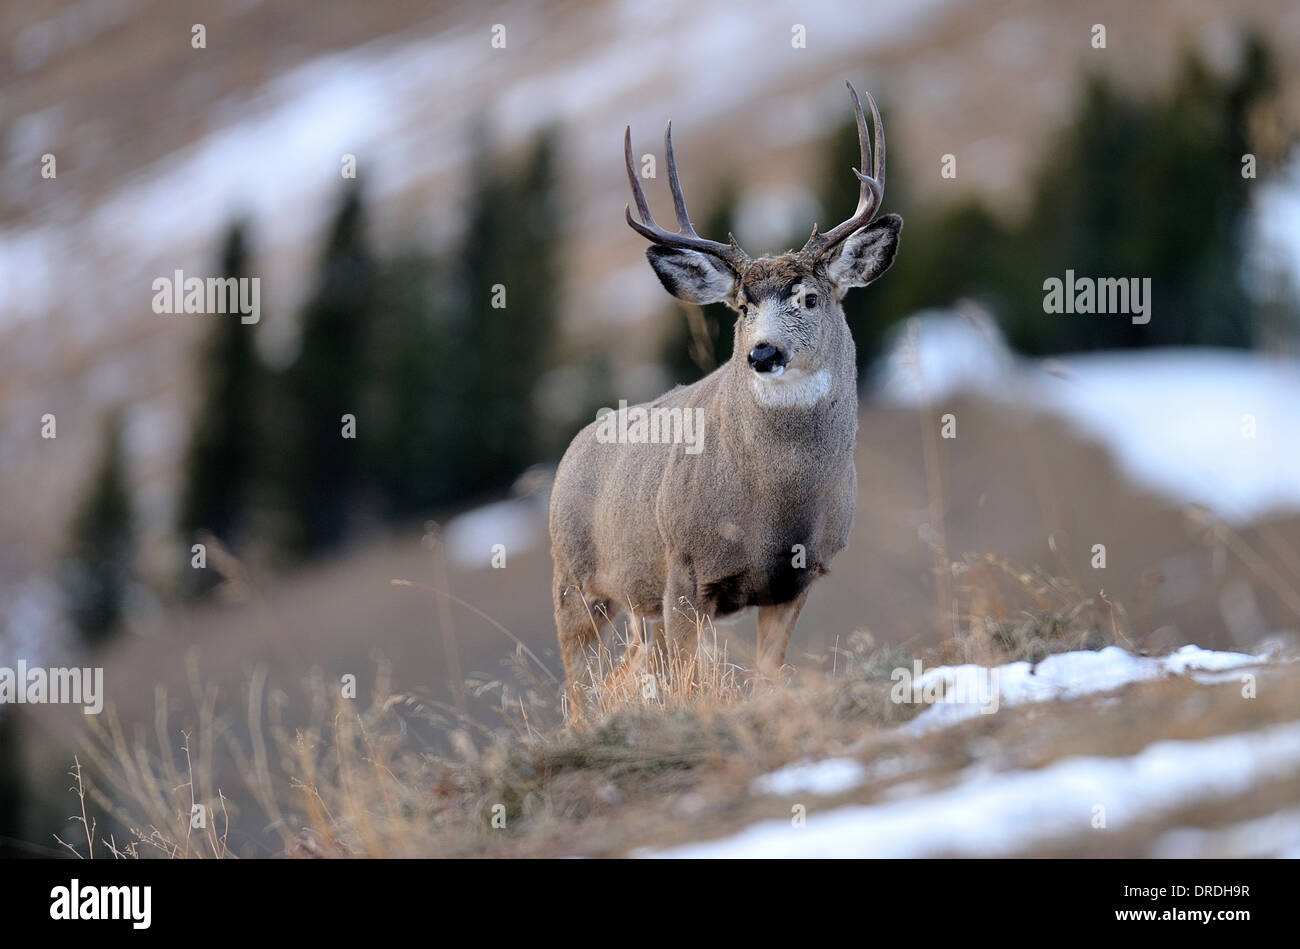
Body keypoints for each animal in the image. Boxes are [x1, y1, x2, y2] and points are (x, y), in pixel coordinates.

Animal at [550, 82, 901, 711]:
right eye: (740, 306)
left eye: (810, 297)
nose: (762, 353)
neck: (776, 506)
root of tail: (570, 452)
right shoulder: (684, 573)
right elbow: (691, 686)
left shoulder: (795, 580)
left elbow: (766, 679)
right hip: (575, 584)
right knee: (580, 698)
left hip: (636, 608)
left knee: (623, 677)